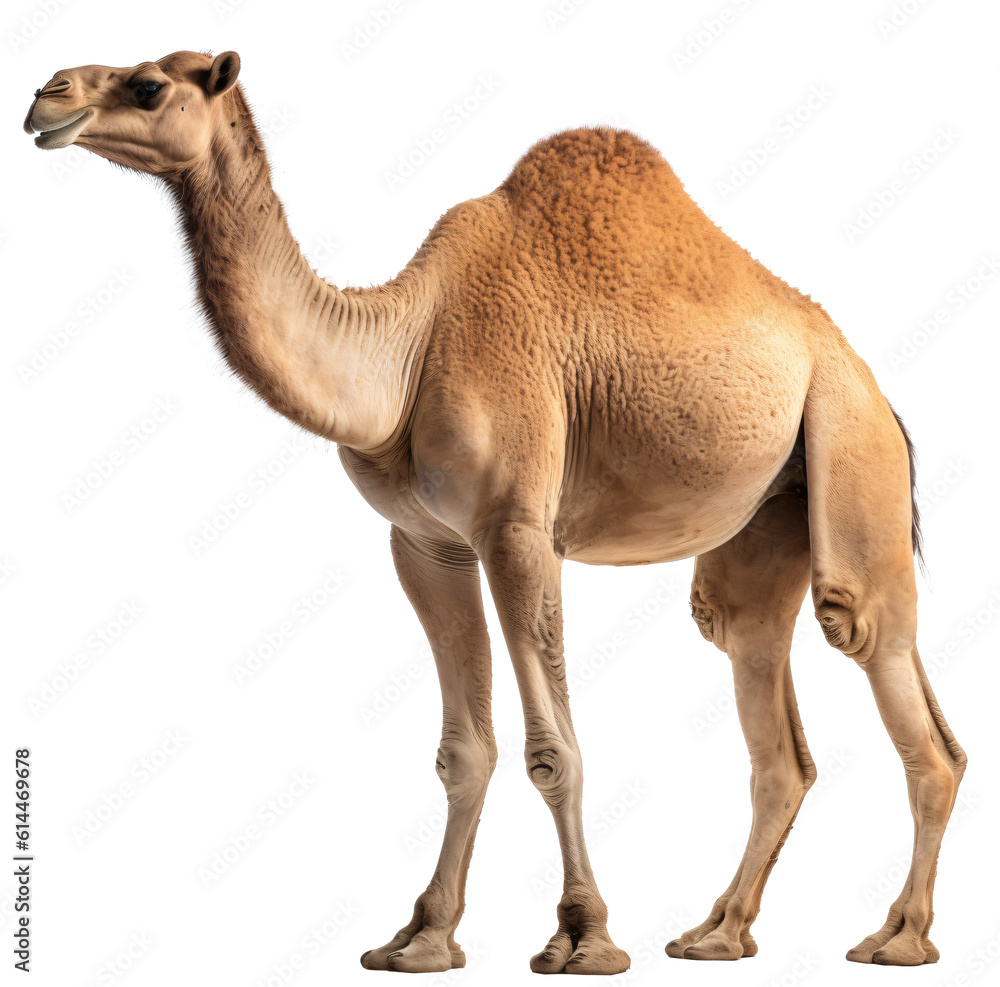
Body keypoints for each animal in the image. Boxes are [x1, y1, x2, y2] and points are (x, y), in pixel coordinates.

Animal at [24, 50, 967, 975]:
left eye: (150, 85)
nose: (45, 97)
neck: (403, 350)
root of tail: (876, 389)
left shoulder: (518, 529)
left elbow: (553, 751)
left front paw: (583, 936)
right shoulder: (425, 542)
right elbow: (462, 749)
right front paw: (421, 937)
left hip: (849, 445)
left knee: (885, 665)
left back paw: (897, 937)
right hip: (765, 519)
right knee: (764, 694)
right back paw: (718, 932)